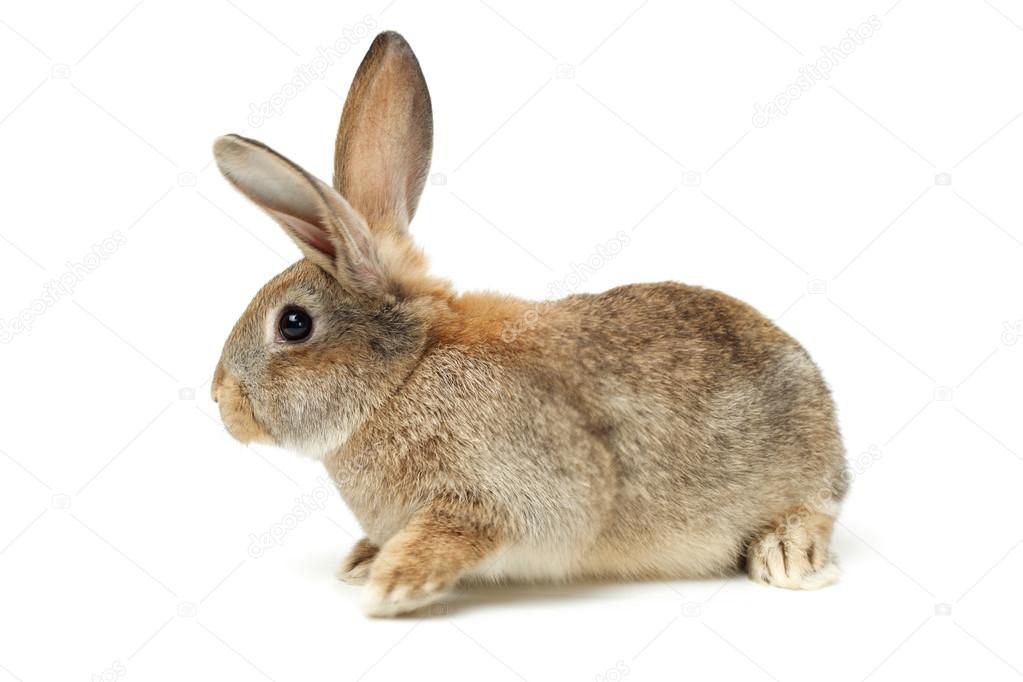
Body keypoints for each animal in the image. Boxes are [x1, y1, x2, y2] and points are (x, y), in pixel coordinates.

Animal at [211, 30, 848, 617]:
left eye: (294, 324)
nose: (221, 400)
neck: (403, 376)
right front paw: (366, 560)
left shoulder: (521, 490)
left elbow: (468, 526)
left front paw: (394, 583)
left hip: (803, 477)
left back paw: (786, 556)